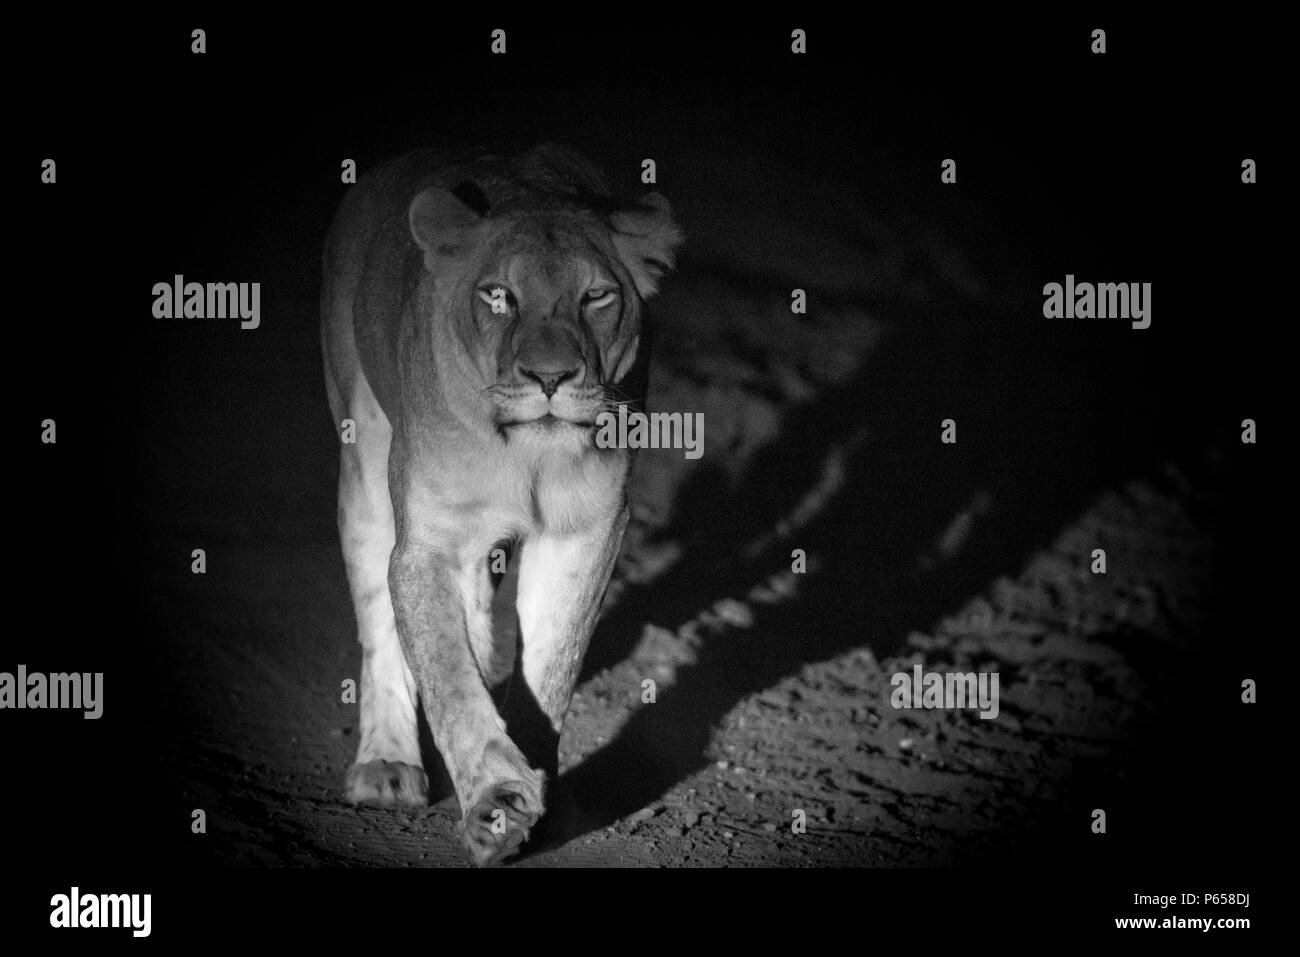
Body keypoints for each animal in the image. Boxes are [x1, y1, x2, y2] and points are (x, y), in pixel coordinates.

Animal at [320, 144, 681, 864]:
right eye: (498, 296)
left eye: (597, 296)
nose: (550, 377)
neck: (527, 454)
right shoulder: (426, 540)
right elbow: (446, 673)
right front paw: (496, 802)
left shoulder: (589, 530)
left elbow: (553, 663)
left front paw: (536, 791)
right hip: (363, 461)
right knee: (378, 620)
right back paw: (386, 763)